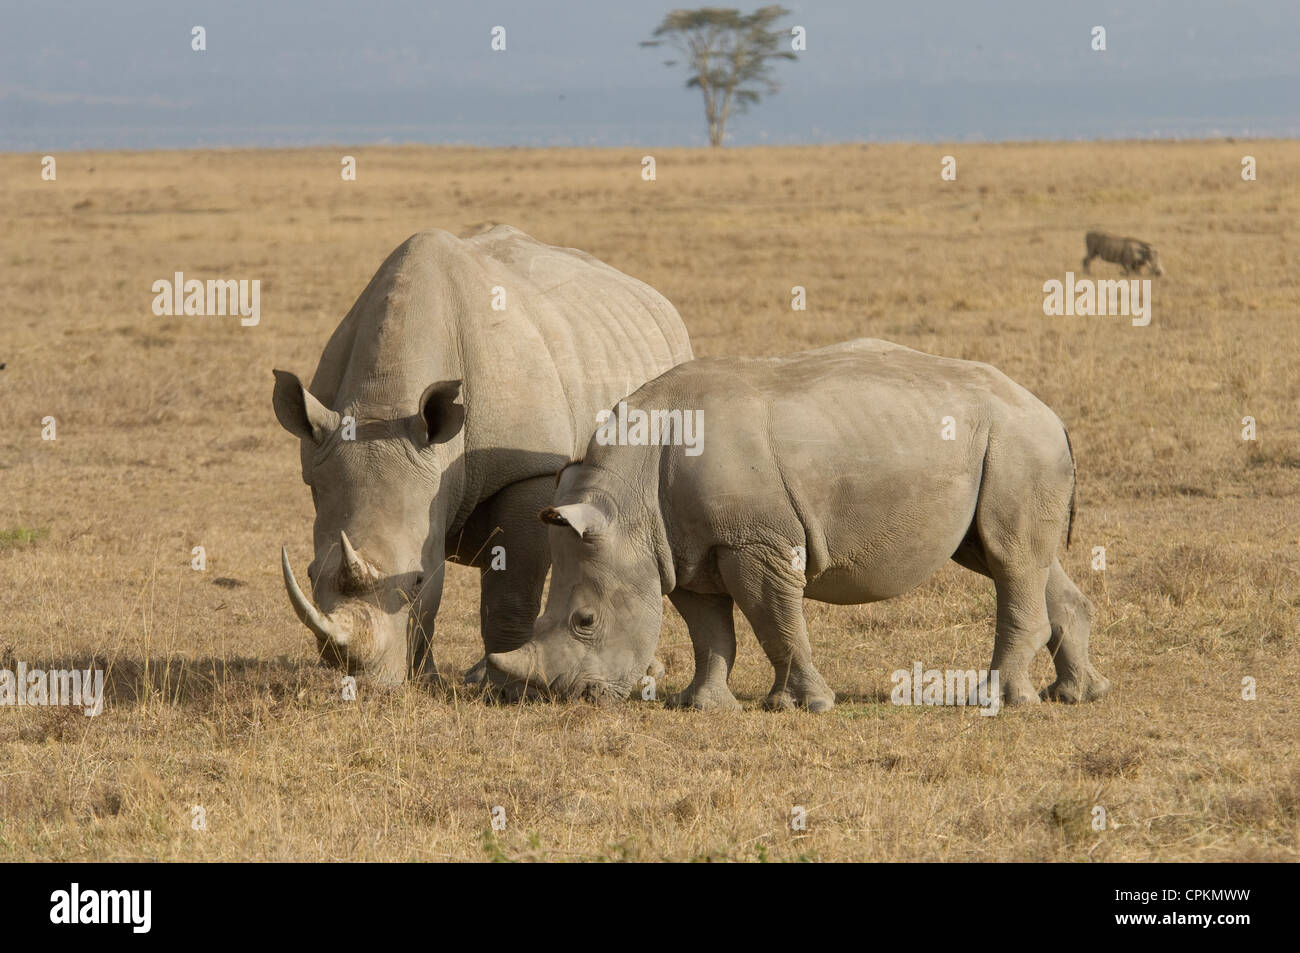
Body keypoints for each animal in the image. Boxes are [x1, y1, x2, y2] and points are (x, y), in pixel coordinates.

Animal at [273, 225, 692, 684]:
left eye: (417, 580)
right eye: (309, 574)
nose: (360, 680)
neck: (381, 407)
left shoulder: (527, 473)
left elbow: (509, 591)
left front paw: (503, 685)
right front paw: (427, 680)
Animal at [488, 339, 1111, 711]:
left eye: (585, 621)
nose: (571, 698)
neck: (627, 502)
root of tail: (1049, 411)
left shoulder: (755, 543)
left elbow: (775, 621)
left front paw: (804, 705)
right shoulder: (681, 550)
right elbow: (709, 630)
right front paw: (703, 706)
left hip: (1017, 441)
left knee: (1010, 559)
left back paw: (998, 700)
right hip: (1008, 445)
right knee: (1012, 558)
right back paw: (1077, 694)